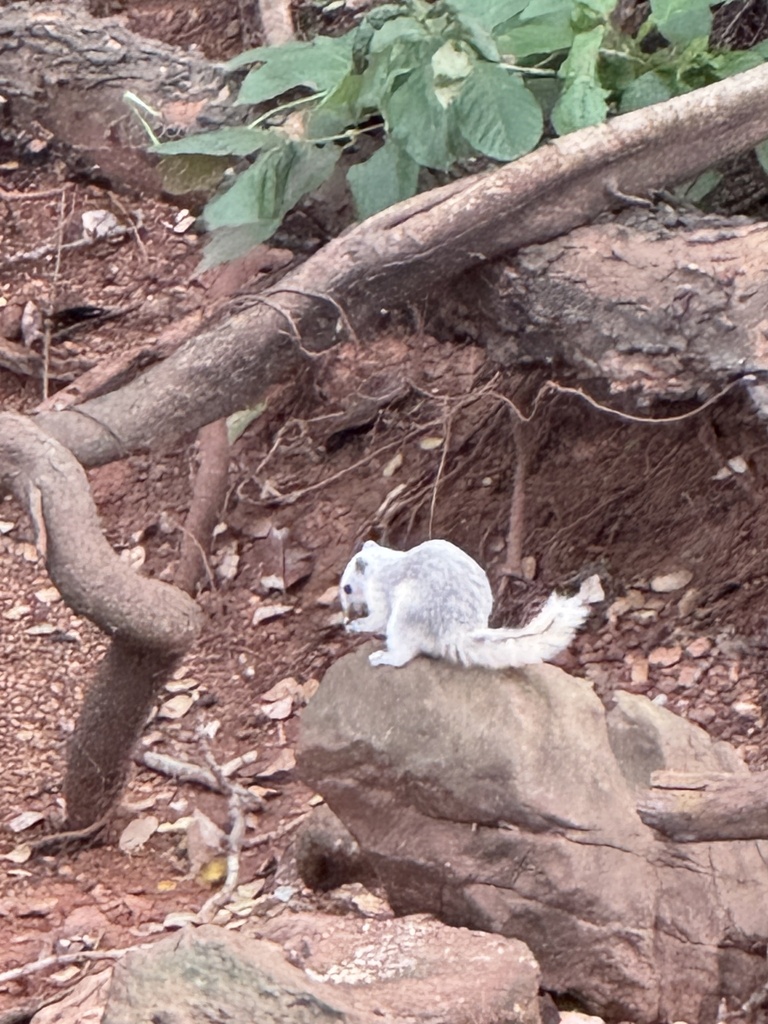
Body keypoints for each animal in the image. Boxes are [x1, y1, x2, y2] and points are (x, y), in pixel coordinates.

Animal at [340, 539, 603, 669]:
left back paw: (384, 658)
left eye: (347, 588)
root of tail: (455, 632)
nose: (345, 610)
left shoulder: (379, 593)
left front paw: (354, 625)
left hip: (405, 616)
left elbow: (377, 619)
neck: (382, 564)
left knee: (405, 652)